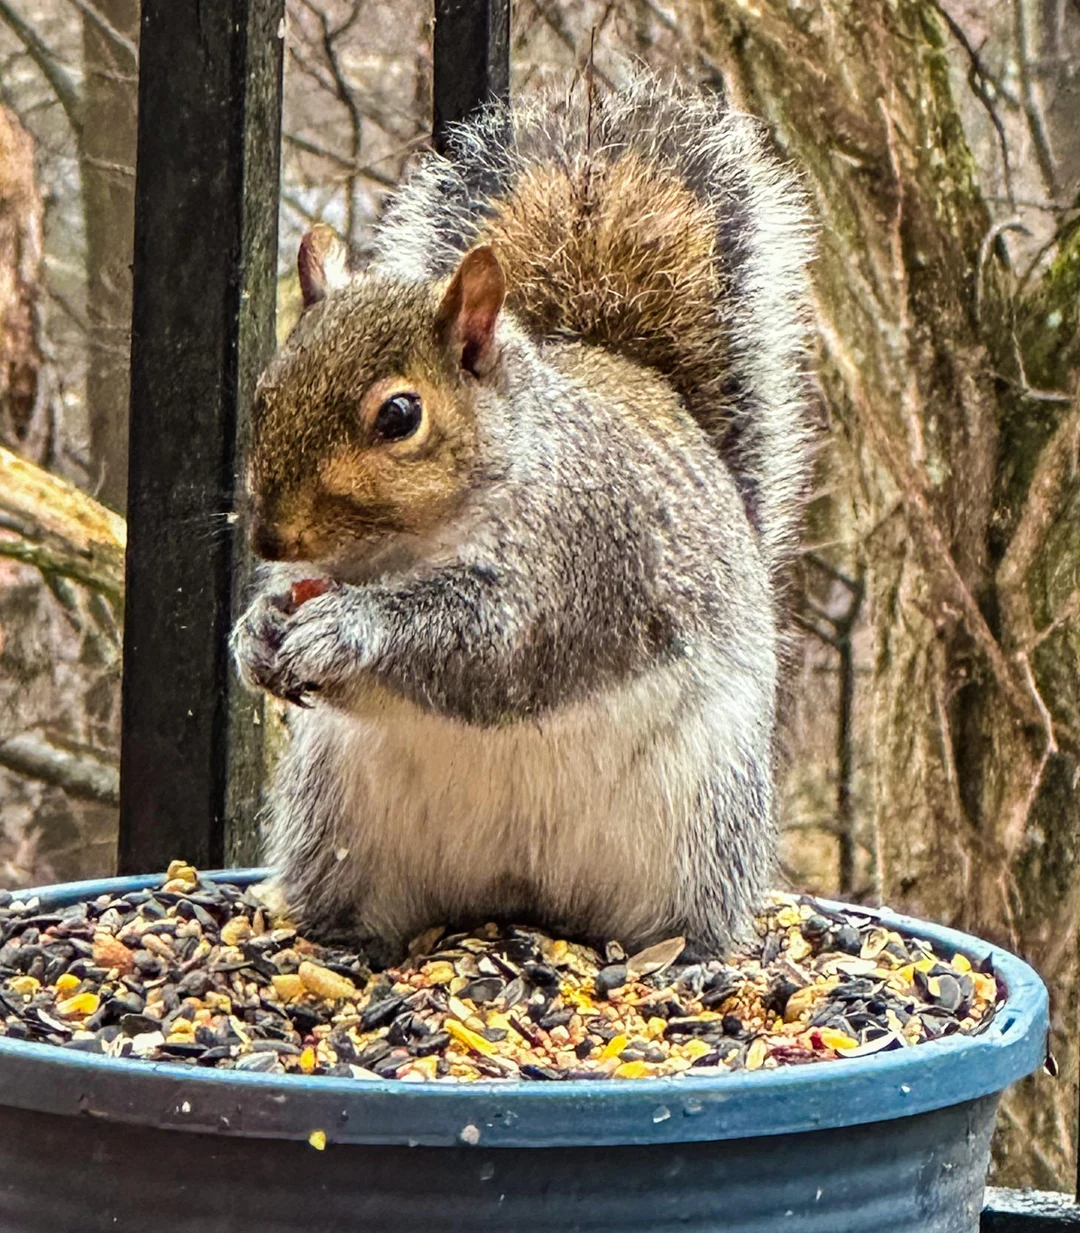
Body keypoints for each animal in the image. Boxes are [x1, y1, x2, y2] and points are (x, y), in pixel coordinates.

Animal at [231, 73, 814, 964]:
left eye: (399, 416)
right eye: (265, 391)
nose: (270, 537)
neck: (406, 548)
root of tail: (518, 894)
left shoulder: (582, 563)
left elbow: (493, 647)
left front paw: (348, 628)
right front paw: (256, 630)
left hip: (703, 818)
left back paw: (686, 958)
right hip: (335, 816)